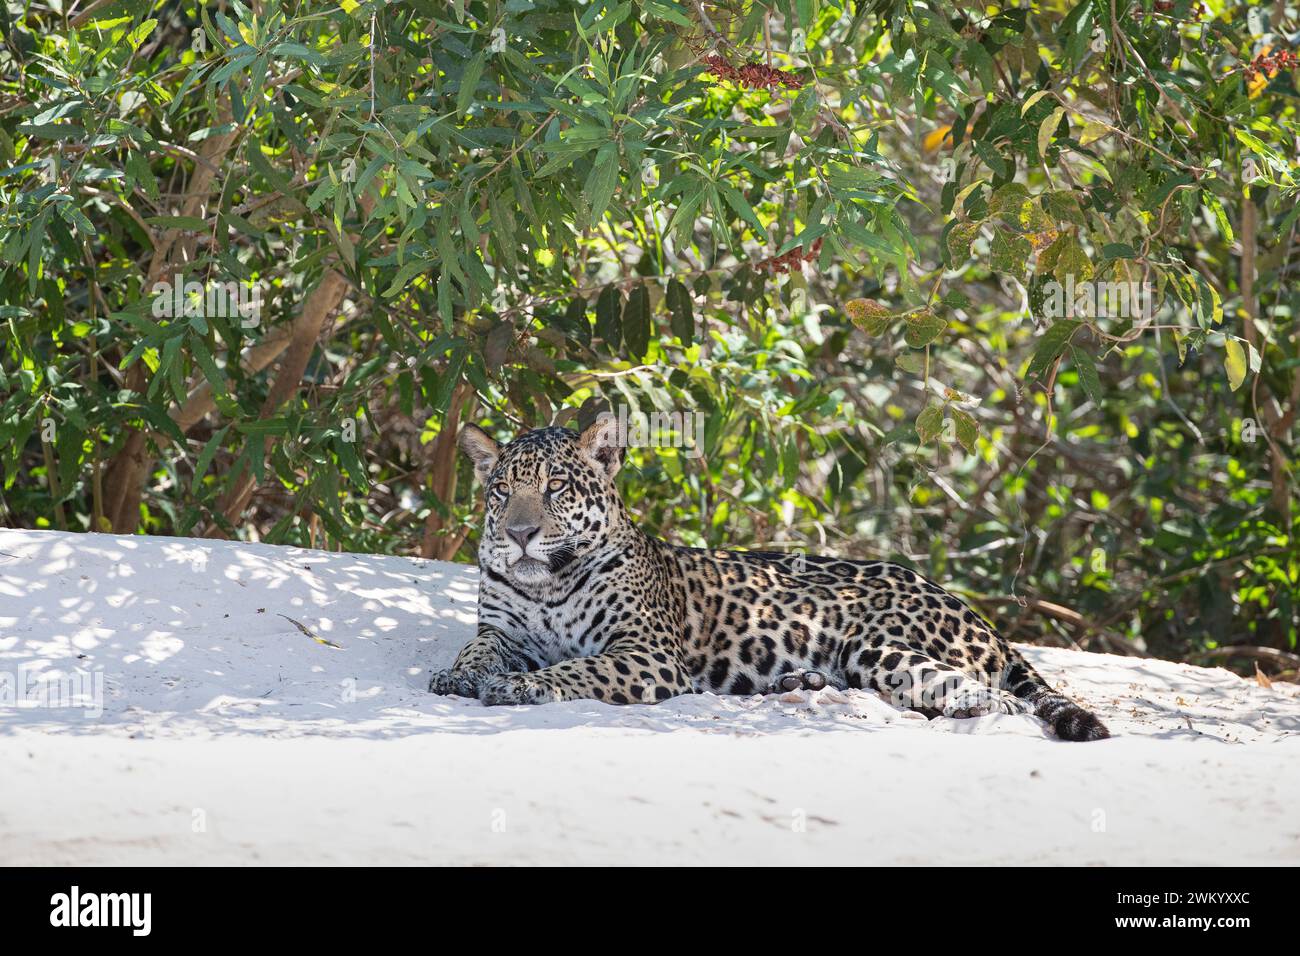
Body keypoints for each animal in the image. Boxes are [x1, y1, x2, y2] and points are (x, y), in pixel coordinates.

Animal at [428, 416, 1110, 742]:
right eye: (501, 490)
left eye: (556, 489)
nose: (519, 534)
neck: (547, 584)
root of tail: (976, 614)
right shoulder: (502, 630)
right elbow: (477, 650)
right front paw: (460, 675)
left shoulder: (645, 653)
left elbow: (575, 669)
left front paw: (519, 686)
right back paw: (798, 681)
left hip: (881, 646)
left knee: (998, 697)